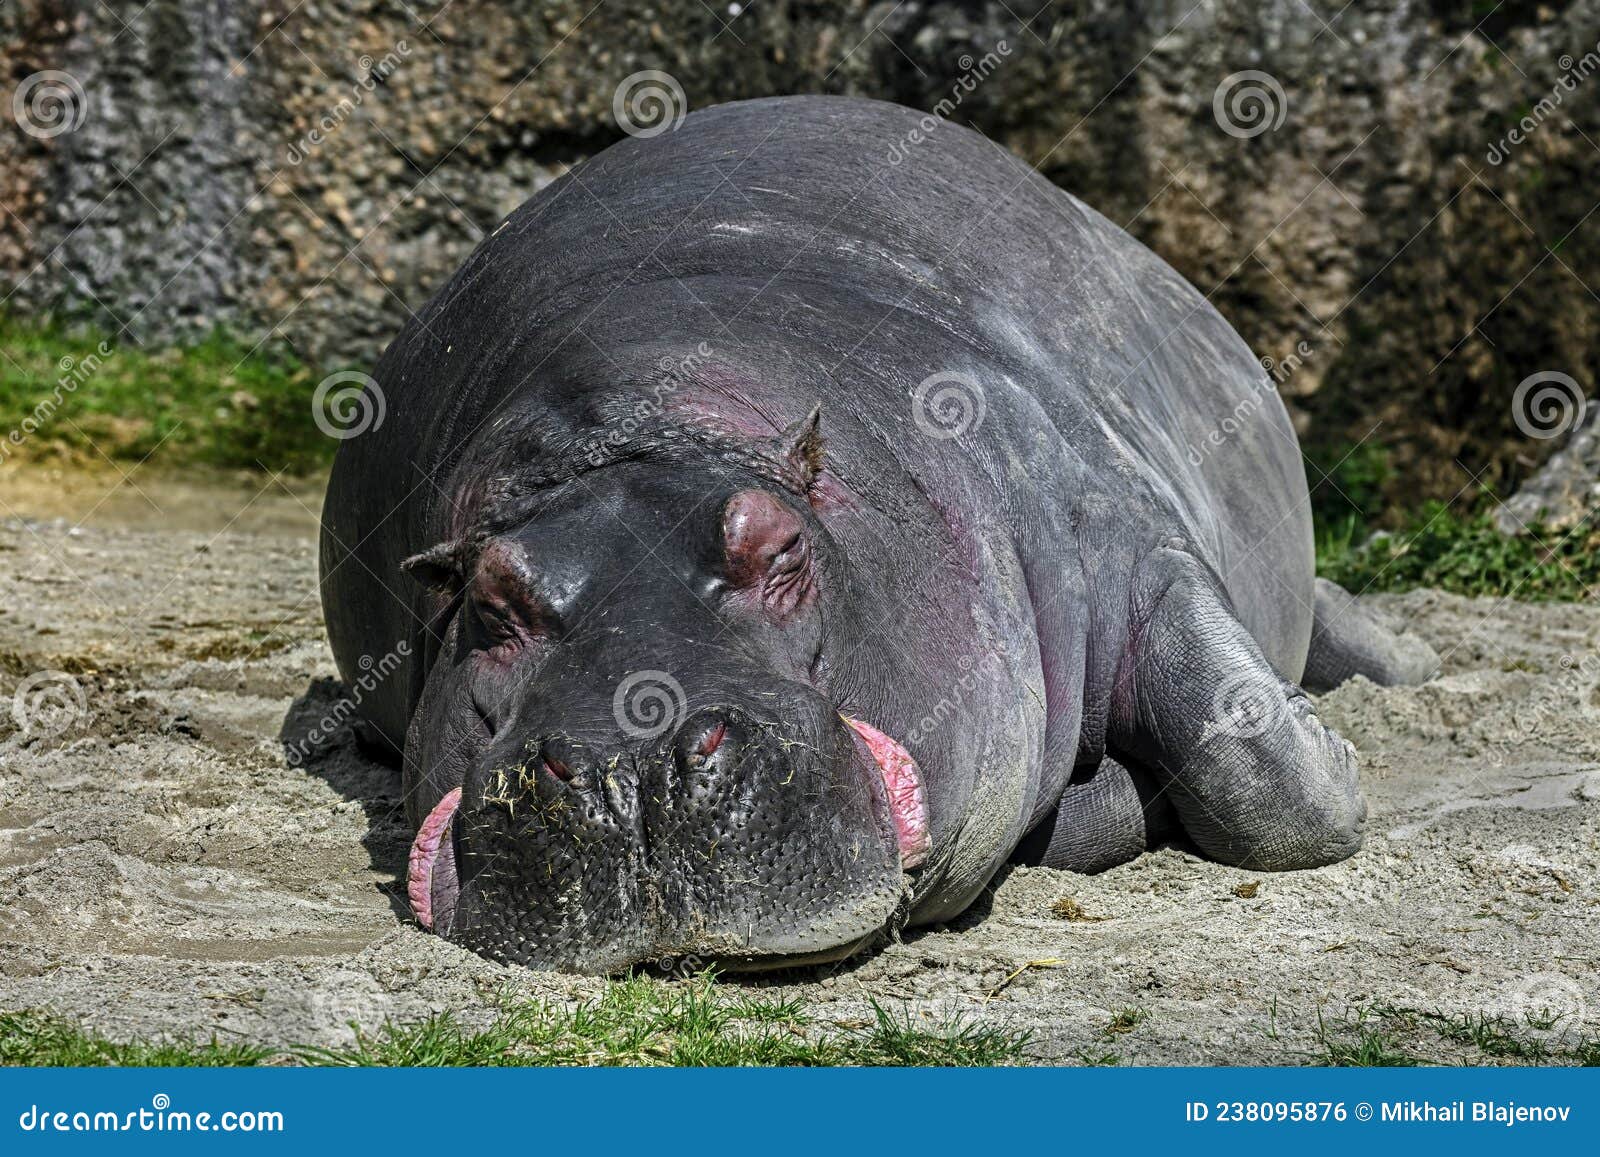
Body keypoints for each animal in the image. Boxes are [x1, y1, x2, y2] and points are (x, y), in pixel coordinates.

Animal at [319, 95, 1437, 973]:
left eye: (780, 550)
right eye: (492, 600)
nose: (629, 766)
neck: (649, 433)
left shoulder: (1123, 532)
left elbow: (1260, 772)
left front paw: (1328, 752)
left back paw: (1412, 665)